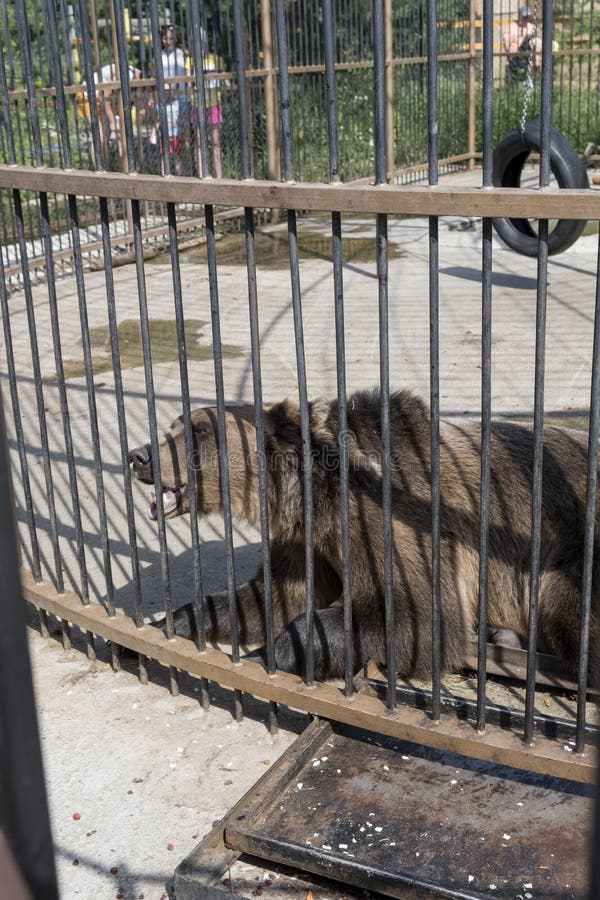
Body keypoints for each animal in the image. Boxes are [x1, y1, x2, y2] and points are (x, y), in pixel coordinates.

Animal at [129, 389, 599, 682]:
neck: (311, 494)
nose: (139, 455)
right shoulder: (306, 538)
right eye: (173, 425)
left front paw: (268, 655)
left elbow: (416, 617)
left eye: (197, 431)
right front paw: (167, 624)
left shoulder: (390, 522)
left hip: (570, 544)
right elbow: (269, 597)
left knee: (568, 614)